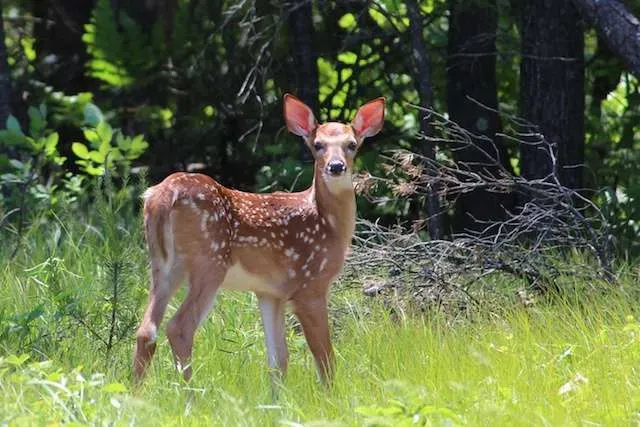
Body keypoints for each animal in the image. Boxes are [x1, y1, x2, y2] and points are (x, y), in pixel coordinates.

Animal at [133, 94, 385, 386]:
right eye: (318, 145)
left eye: (352, 144)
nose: (336, 166)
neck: (326, 222)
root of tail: (163, 194)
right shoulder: (309, 285)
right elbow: (325, 360)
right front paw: (331, 395)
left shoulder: (269, 292)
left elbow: (278, 360)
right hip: (209, 261)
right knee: (178, 327)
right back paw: (191, 394)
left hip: (163, 263)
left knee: (146, 330)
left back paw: (135, 393)